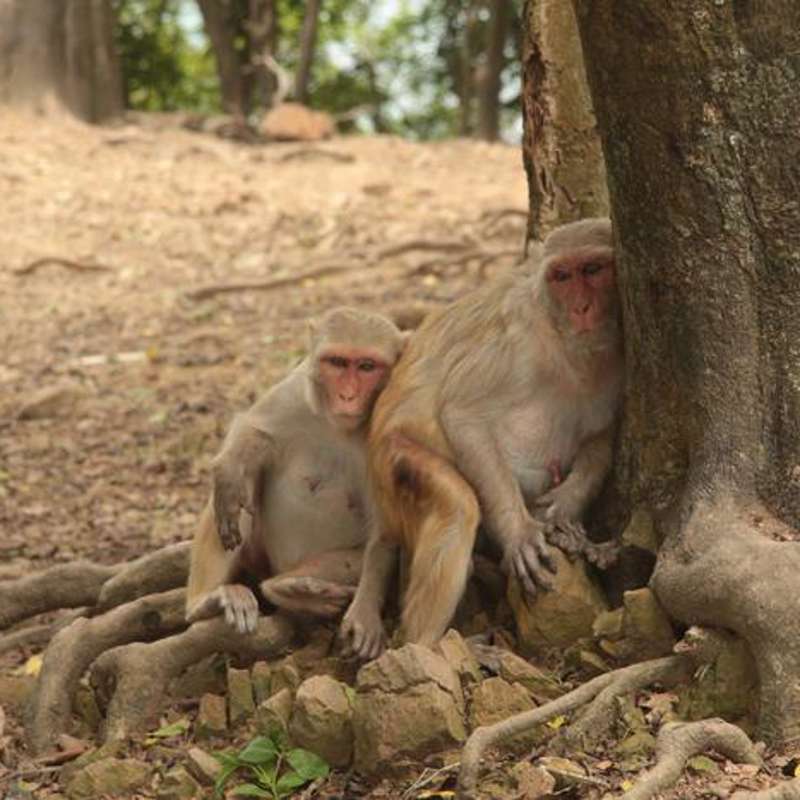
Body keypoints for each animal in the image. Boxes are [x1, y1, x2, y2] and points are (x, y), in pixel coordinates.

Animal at [185, 307, 407, 633]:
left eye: (367, 366)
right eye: (337, 362)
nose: (348, 396)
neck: (338, 427)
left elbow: (385, 528)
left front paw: (364, 611)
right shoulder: (294, 390)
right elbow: (251, 428)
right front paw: (228, 473)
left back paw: (290, 589)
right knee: (237, 503)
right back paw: (205, 602)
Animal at [340, 218, 622, 658]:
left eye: (592, 270)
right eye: (562, 276)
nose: (581, 308)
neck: (566, 343)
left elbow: (600, 436)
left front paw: (565, 505)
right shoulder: (518, 342)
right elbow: (463, 413)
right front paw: (520, 532)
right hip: (391, 462)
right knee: (456, 505)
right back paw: (428, 645)